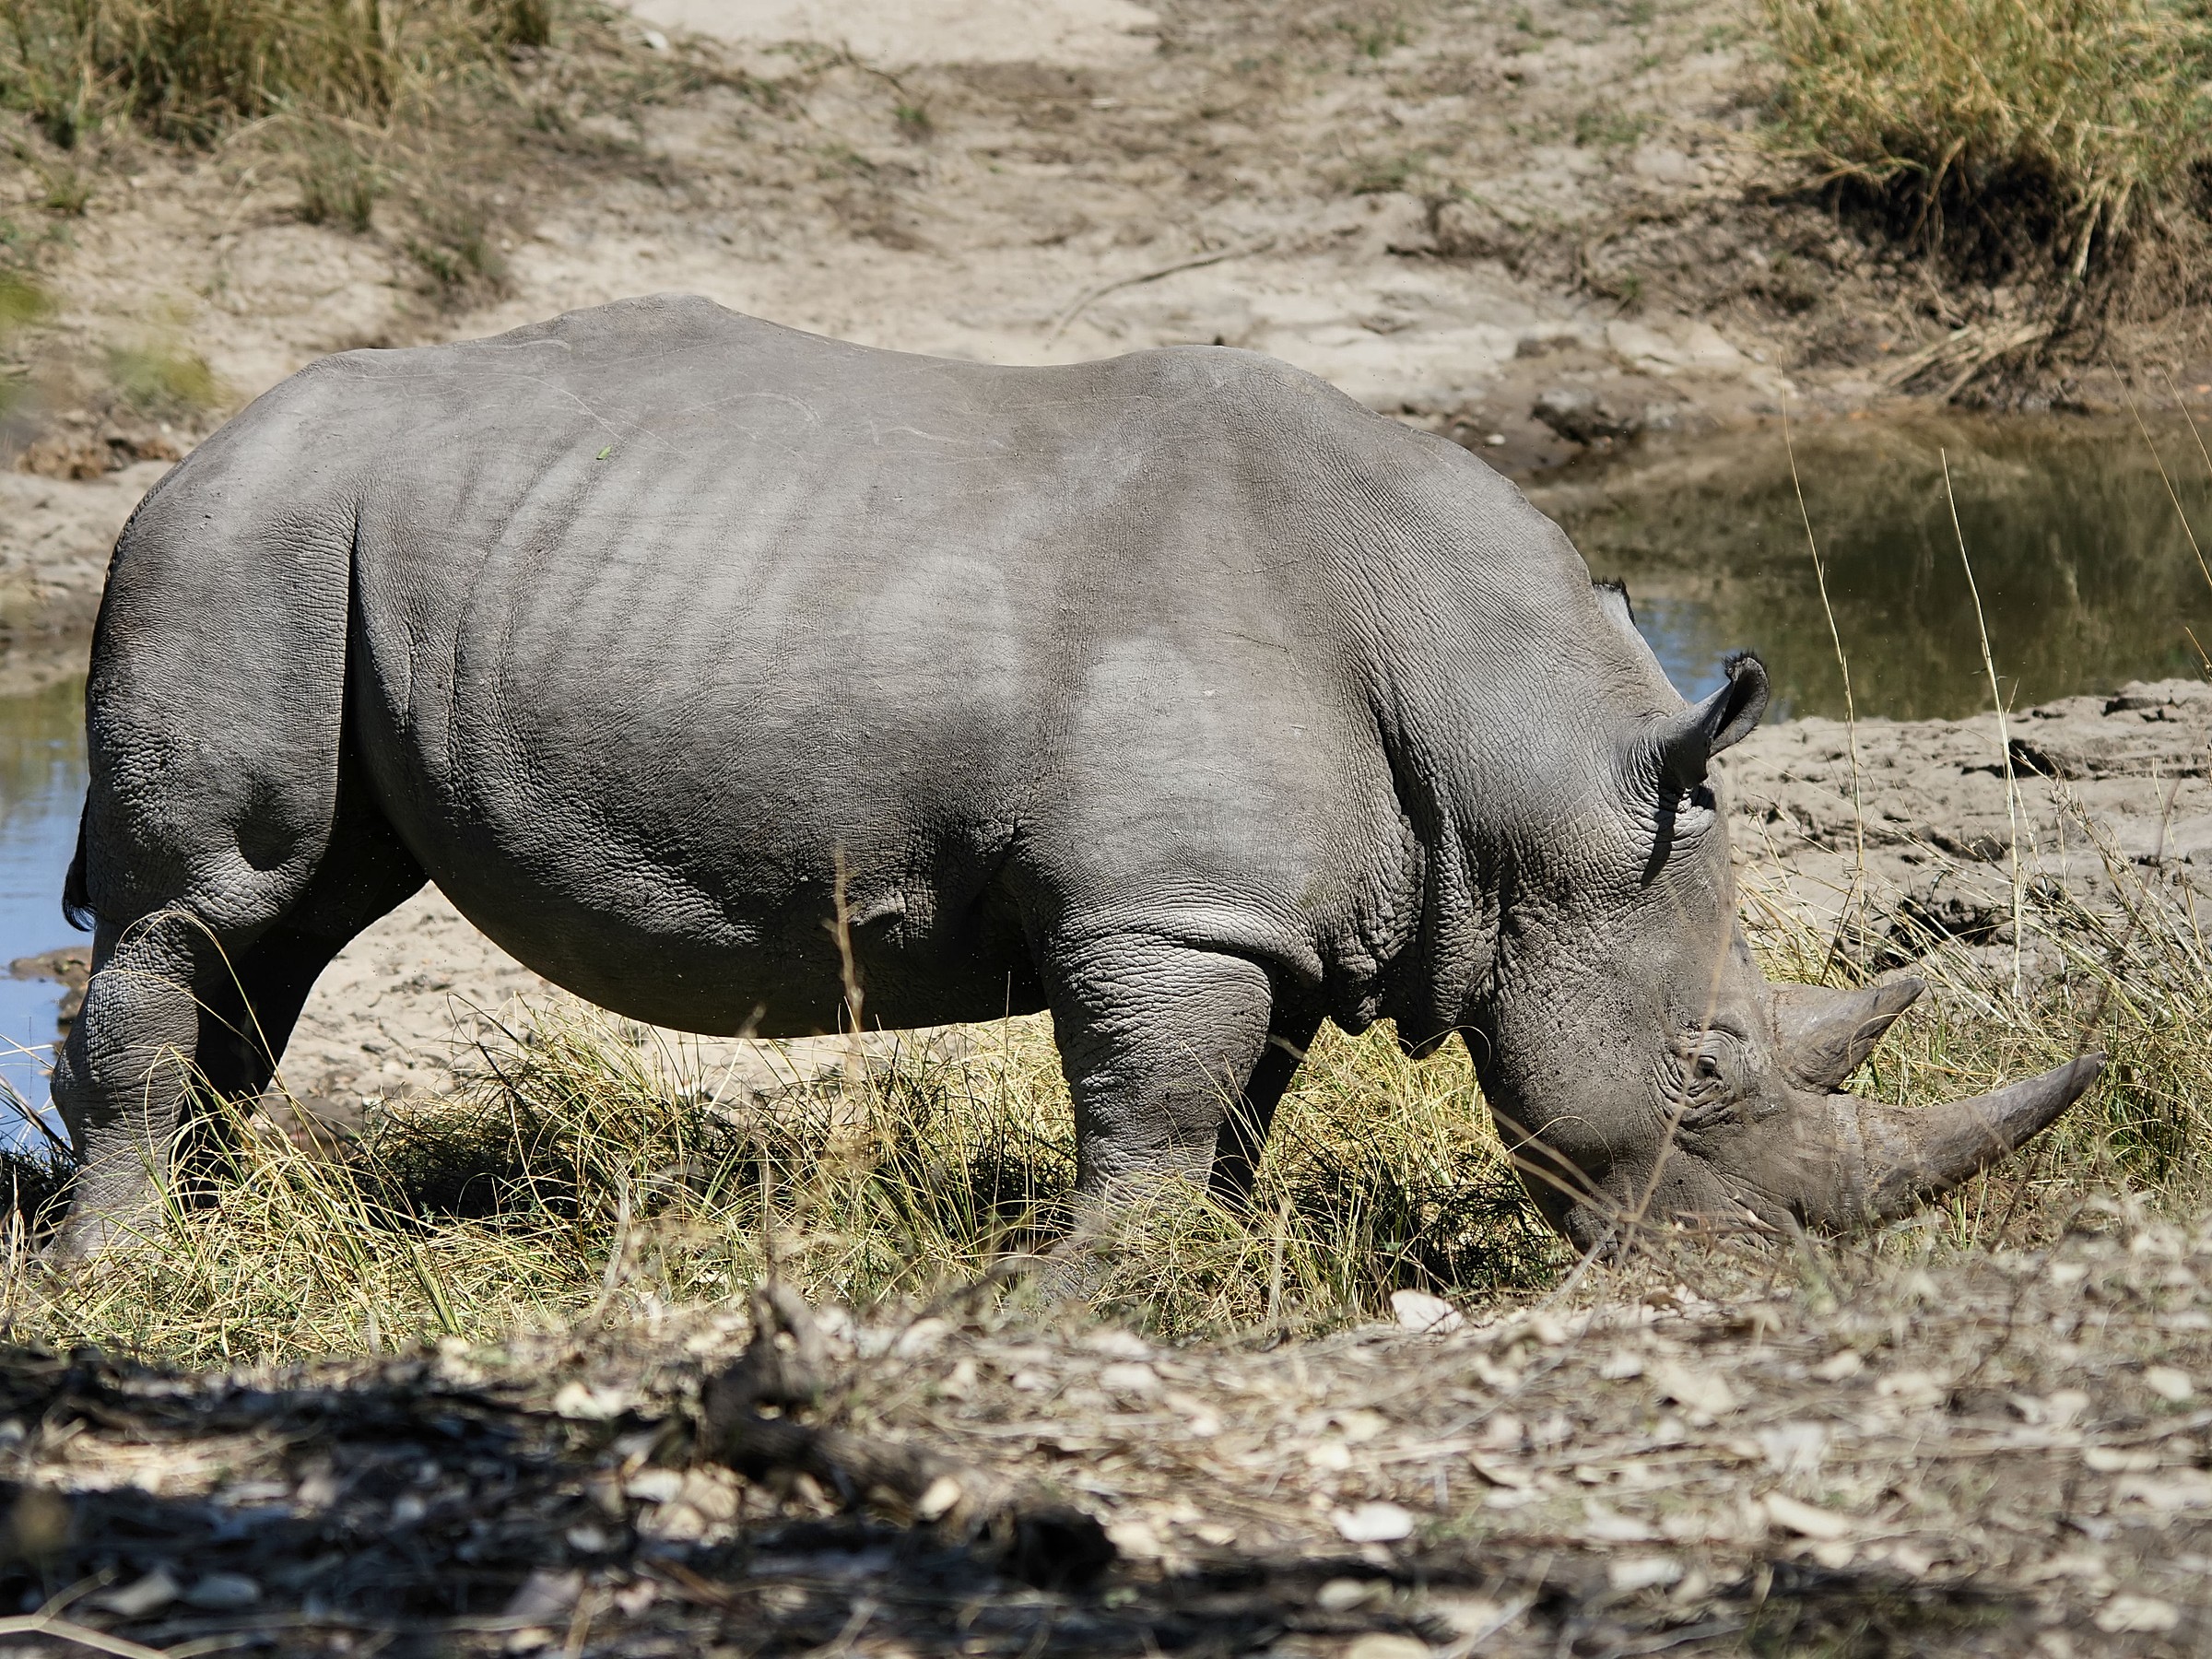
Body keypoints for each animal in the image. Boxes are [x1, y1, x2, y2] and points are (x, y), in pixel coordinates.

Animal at [51, 295, 2101, 1257]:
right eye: (1704, 1070)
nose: (1760, 1271)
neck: (1515, 772)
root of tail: (184, 452)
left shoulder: (1276, 907)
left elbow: (1235, 1111)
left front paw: (1204, 1264)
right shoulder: (1166, 907)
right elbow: (1157, 1105)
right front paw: (1088, 1283)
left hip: (337, 549)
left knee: (293, 921)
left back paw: (221, 1220)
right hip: (244, 537)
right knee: (210, 899)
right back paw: (123, 1269)